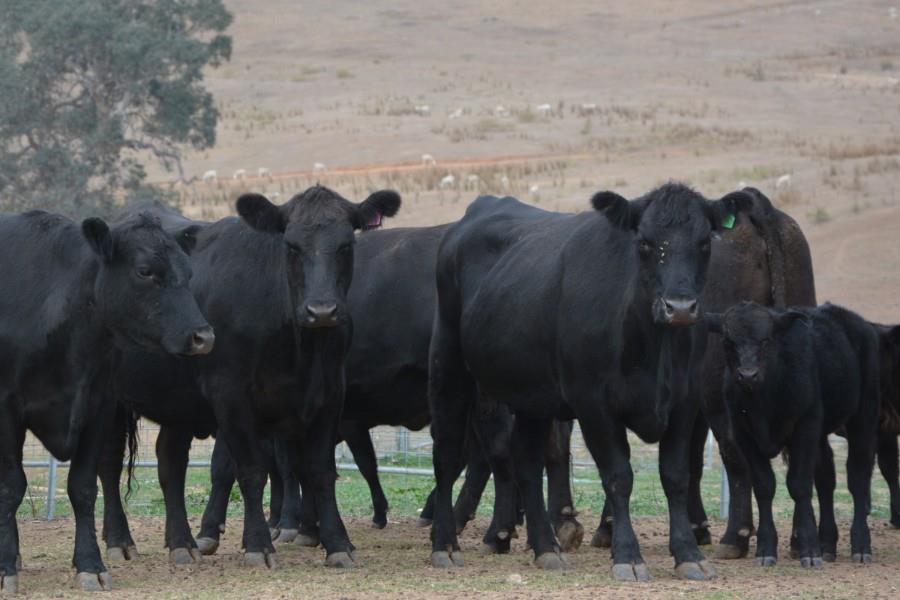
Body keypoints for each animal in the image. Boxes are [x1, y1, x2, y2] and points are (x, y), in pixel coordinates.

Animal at [0, 210, 212, 594]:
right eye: (145, 270)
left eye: (188, 272)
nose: (203, 336)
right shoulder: (7, 410)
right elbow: (11, 486)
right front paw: (6, 568)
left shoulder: (96, 407)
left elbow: (83, 487)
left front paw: (89, 564)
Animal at [97, 186, 400, 571]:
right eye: (291, 246)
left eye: (346, 245)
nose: (321, 311)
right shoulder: (231, 396)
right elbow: (252, 470)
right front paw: (258, 543)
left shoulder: (331, 395)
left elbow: (319, 470)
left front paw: (337, 544)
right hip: (110, 400)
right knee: (109, 462)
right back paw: (120, 540)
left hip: (176, 402)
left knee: (170, 463)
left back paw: (181, 543)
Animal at [426, 183, 752, 581]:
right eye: (644, 242)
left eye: (704, 241)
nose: (679, 307)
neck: (653, 348)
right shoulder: (594, 405)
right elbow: (618, 477)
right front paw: (628, 555)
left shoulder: (683, 405)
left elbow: (676, 476)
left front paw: (688, 554)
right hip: (448, 366)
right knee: (446, 454)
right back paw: (444, 545)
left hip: (531, 396)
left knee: (526, 461)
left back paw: (546, 548)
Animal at [705, 302, 880, 567]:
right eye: (728, 341)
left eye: (766, 340)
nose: (748, 374)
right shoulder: (744, 435)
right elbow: (764, 486)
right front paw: (766, 548)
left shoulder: (804, 427)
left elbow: (799, 485)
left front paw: (809, 549)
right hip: (822, 435)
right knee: (826, 480)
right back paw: (827, 544)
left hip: (863, 418)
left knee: (858, 478)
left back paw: (860, 546)